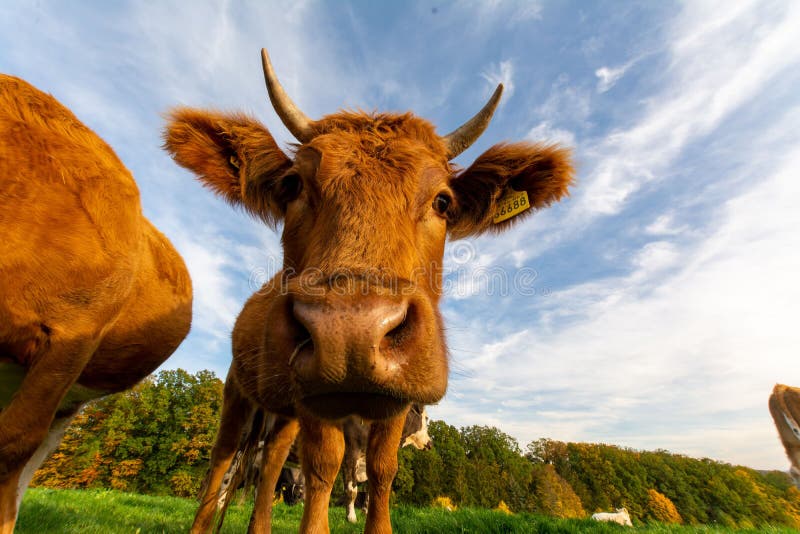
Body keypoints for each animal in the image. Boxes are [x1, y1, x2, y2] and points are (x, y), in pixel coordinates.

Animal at [164, 48, 574, 534]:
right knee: (223, 457)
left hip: (281, 413)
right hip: (235, 389)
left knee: (271, 461)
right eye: (293, 185)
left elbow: (382, 469)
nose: (350, 332)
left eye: (443, 201)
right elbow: (324, 465)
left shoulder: (391, 402)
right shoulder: (314, 404)